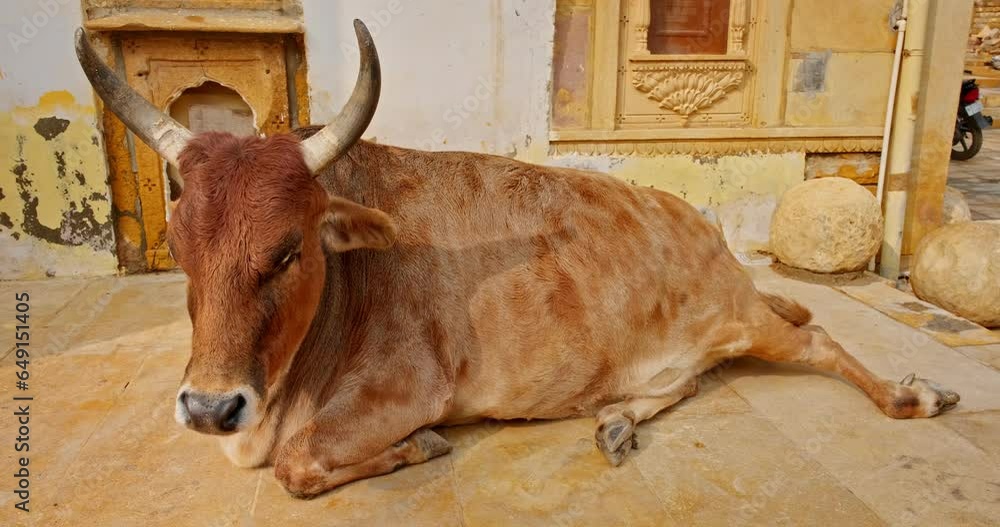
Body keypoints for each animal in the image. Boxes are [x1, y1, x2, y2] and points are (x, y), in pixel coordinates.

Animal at [76, 21, 959, 499]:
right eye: (181, 248)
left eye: (289, 249)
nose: (208, 407)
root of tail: (700, 223)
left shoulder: (407, 390)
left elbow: (299, 461)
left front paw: (423, 447)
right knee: (685, 380)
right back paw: (616, 422)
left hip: (747, 319)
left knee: (819, 341)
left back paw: (912, 395)